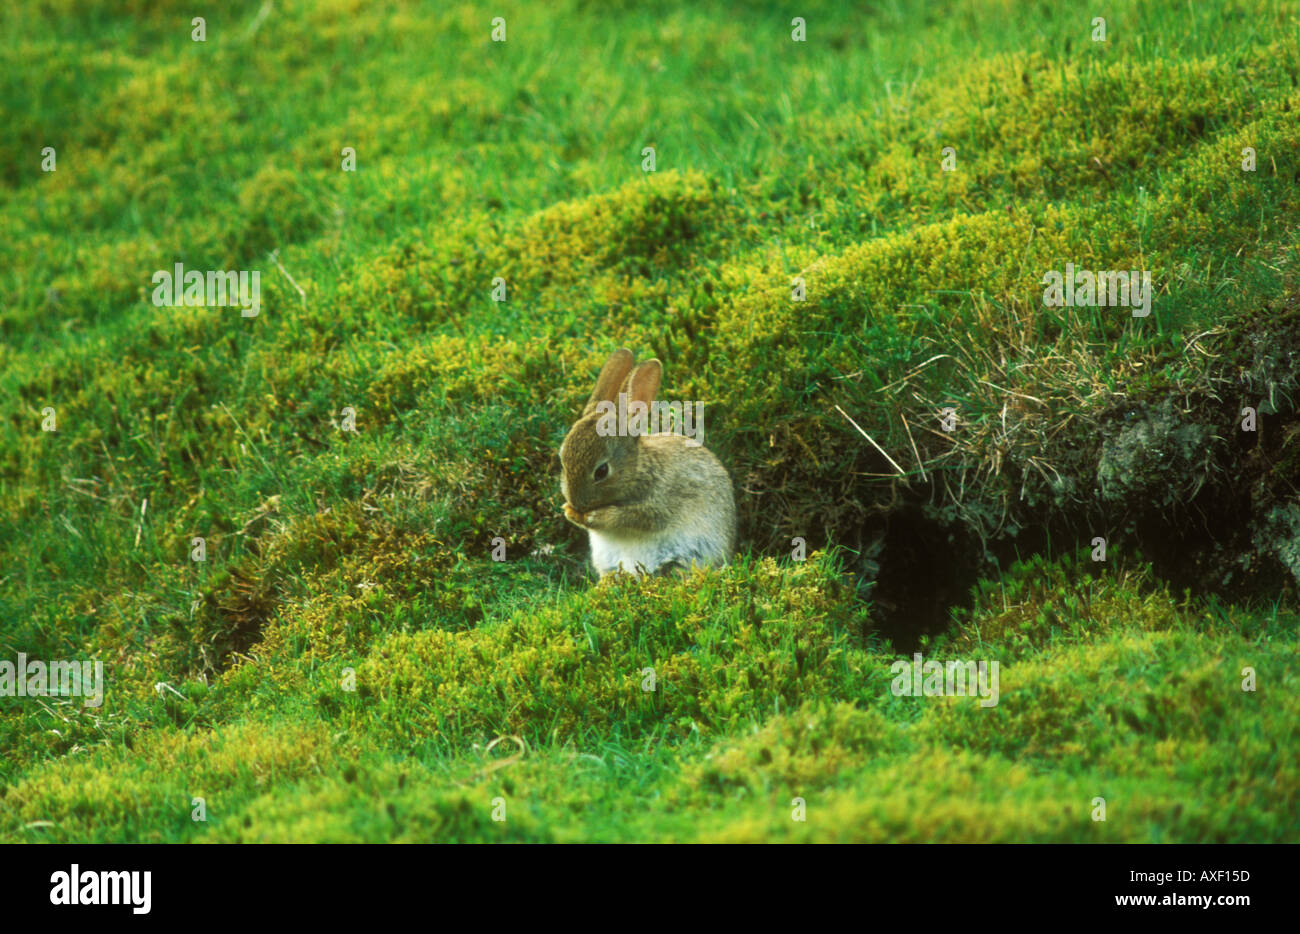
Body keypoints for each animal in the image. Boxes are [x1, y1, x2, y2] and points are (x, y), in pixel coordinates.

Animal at [560, 347, 737, 577]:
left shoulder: (658, 504)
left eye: (602, 471)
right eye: (562, 458)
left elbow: (632, 518)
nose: (577, 503)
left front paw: (590, 515)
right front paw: (569, 512)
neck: (637, 471)